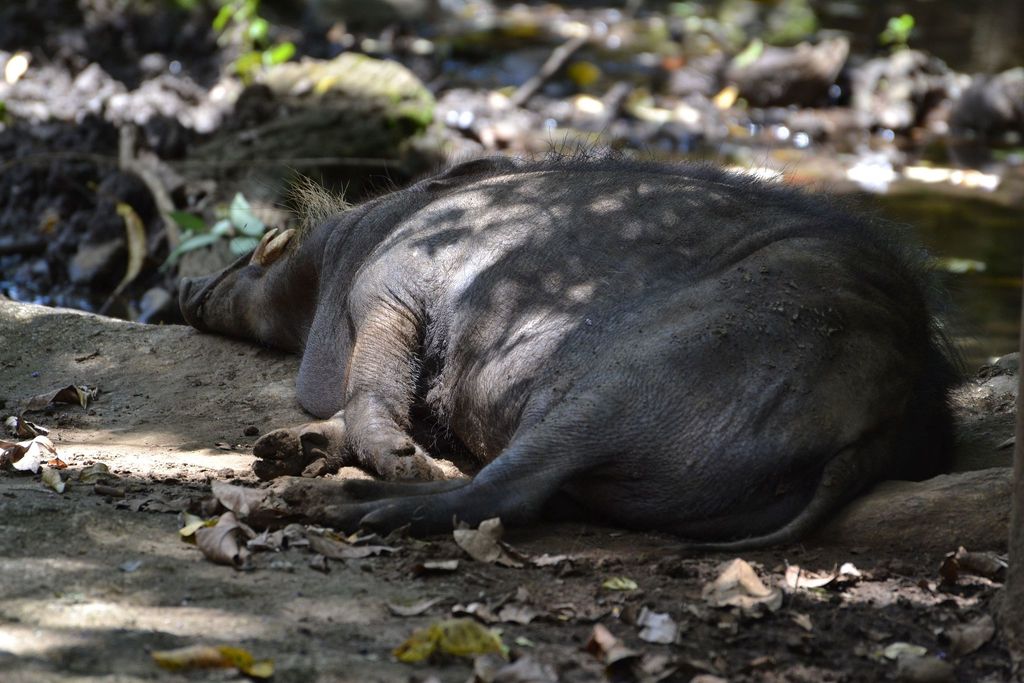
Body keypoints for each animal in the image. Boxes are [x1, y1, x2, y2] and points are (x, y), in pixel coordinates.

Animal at [179, 156, 959, 547]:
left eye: (260, 251)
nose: (188, 283)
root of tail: (880, 421)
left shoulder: (390, 287)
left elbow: (373, 390)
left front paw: (397, 458)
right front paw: (287, 444)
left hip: (628, 380)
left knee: (505, 492)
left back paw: (305, 504)